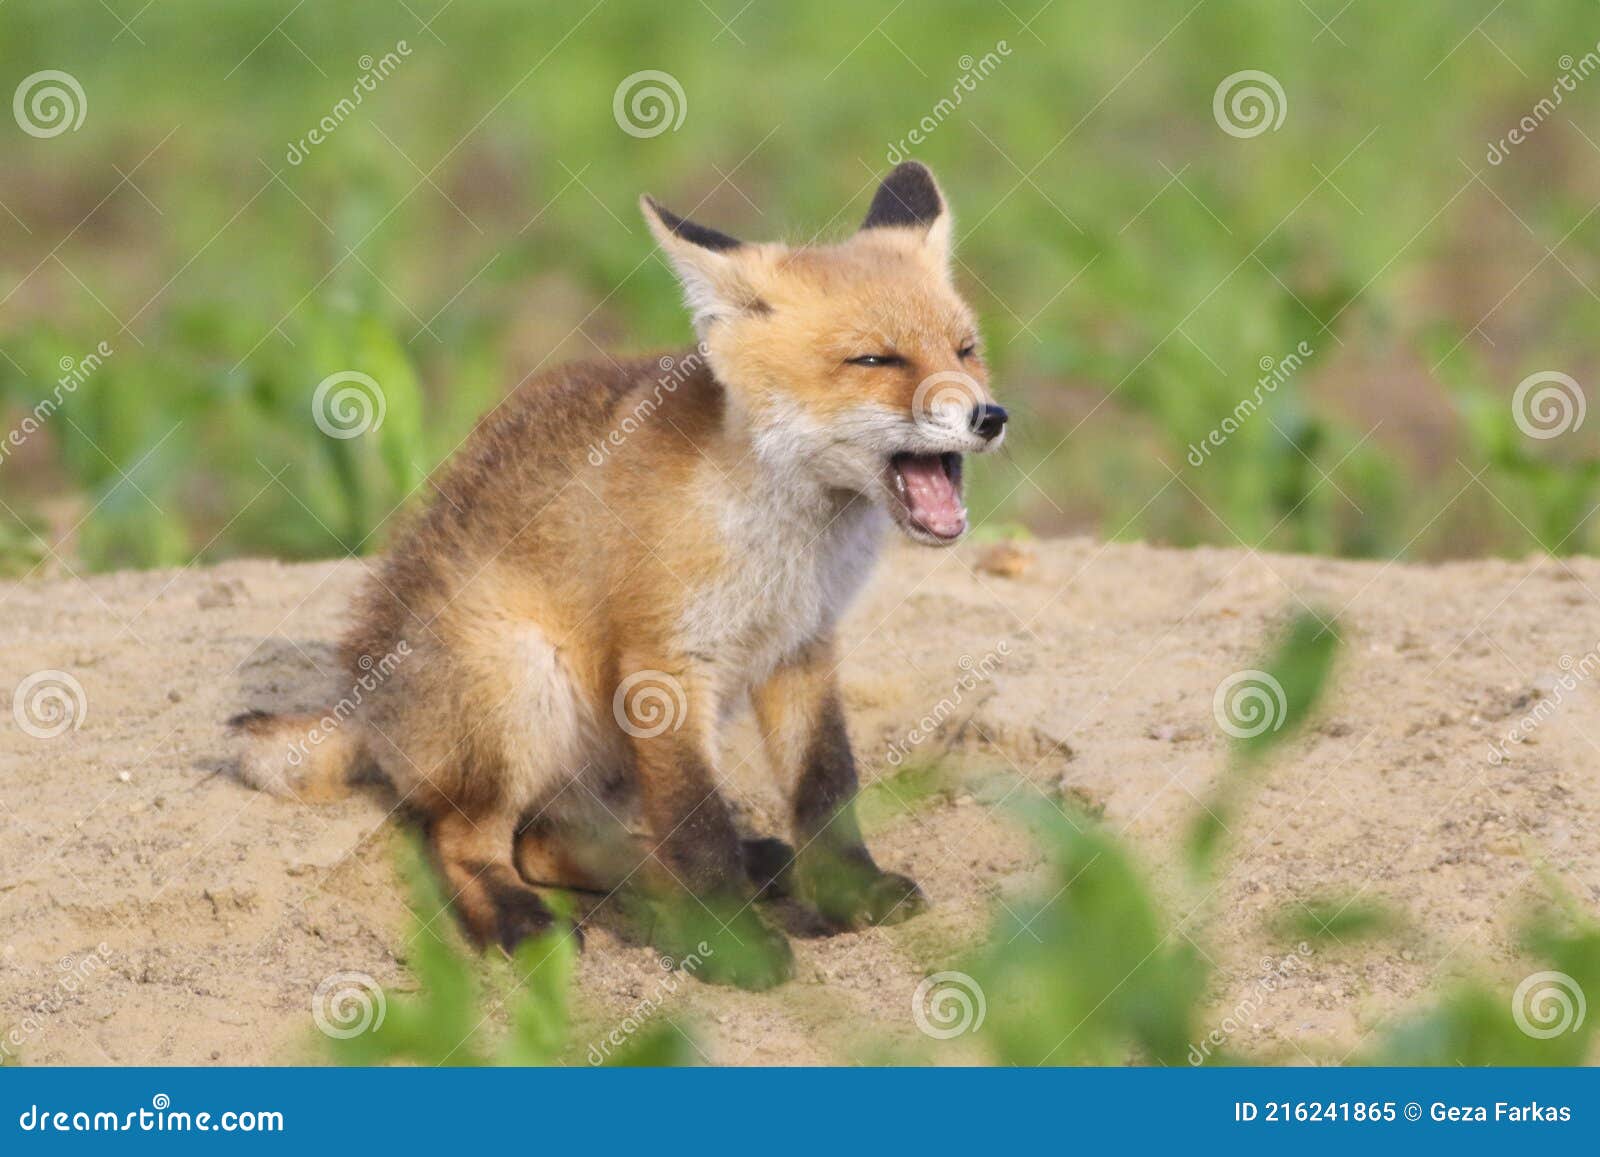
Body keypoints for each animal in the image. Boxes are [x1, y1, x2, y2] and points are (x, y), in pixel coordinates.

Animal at [230, 161, 1006, 989]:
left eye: (965, 350)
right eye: (876, 360)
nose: (990, 416)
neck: (790, 545)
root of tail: (365, 702)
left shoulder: (802, 645)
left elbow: (827, 783)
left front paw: (846, 890)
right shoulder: (664, 662)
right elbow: (698, 825)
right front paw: (729, 941)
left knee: (547, 841)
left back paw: (737, 869)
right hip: (522, 685)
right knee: (471, 839)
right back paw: (526, 919)